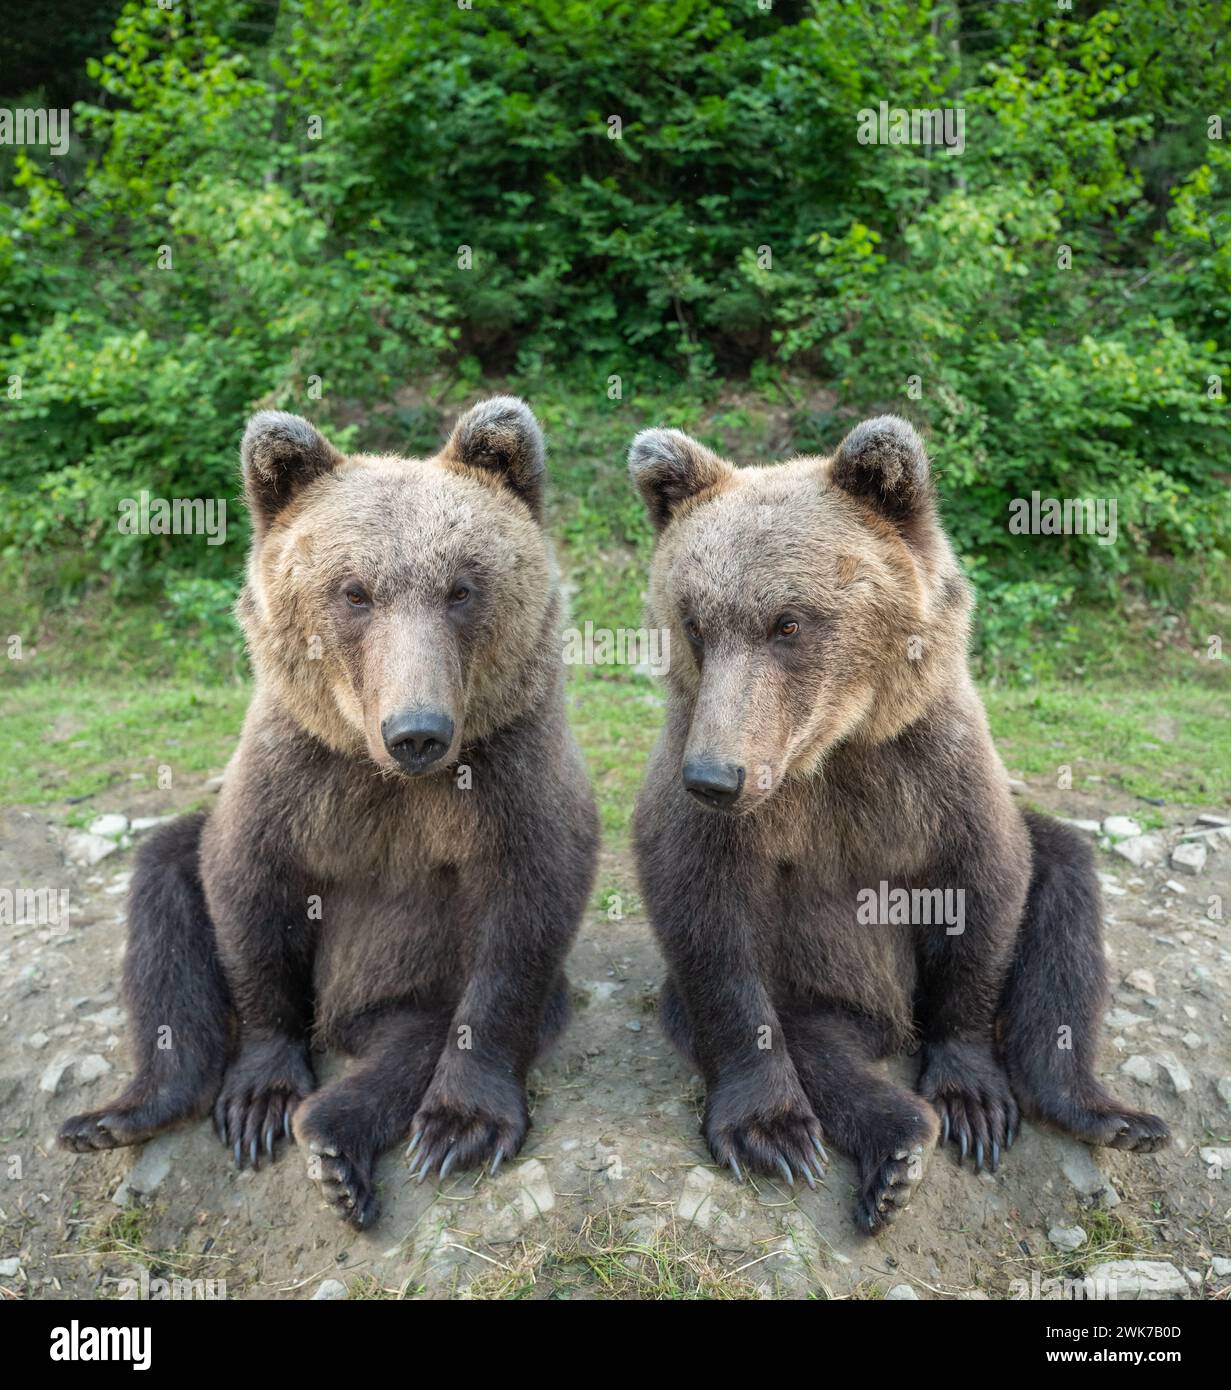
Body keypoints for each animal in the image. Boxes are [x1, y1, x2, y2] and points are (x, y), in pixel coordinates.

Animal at [59, 397, 599, 1229]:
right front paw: (259, 1096)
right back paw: (123, 1113)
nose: (417, 730)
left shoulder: (510, 774)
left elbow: (522, 925)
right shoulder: (295, 770)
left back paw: (338, 1140)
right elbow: (248, 892)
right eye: (354, 591)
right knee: (165, 896)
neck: (387, 775)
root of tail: (348, 1020)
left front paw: (465, 1123)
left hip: (417, 979)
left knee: (417, 1040)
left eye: (461, 587)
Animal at [627, 416, 1169, 1234]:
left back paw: (1105, 1114)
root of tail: (883, 1025)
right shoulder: (718, 799)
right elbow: (707, 928)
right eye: (693, 621)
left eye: (788, 622)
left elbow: (984, 889)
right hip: (811, 979)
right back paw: (895, 1142)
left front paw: (973, 1096)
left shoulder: (933, 764)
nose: (716, 778)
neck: (834, 746)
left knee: (1065, 896)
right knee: (810, 1043)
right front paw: (767, 1128)